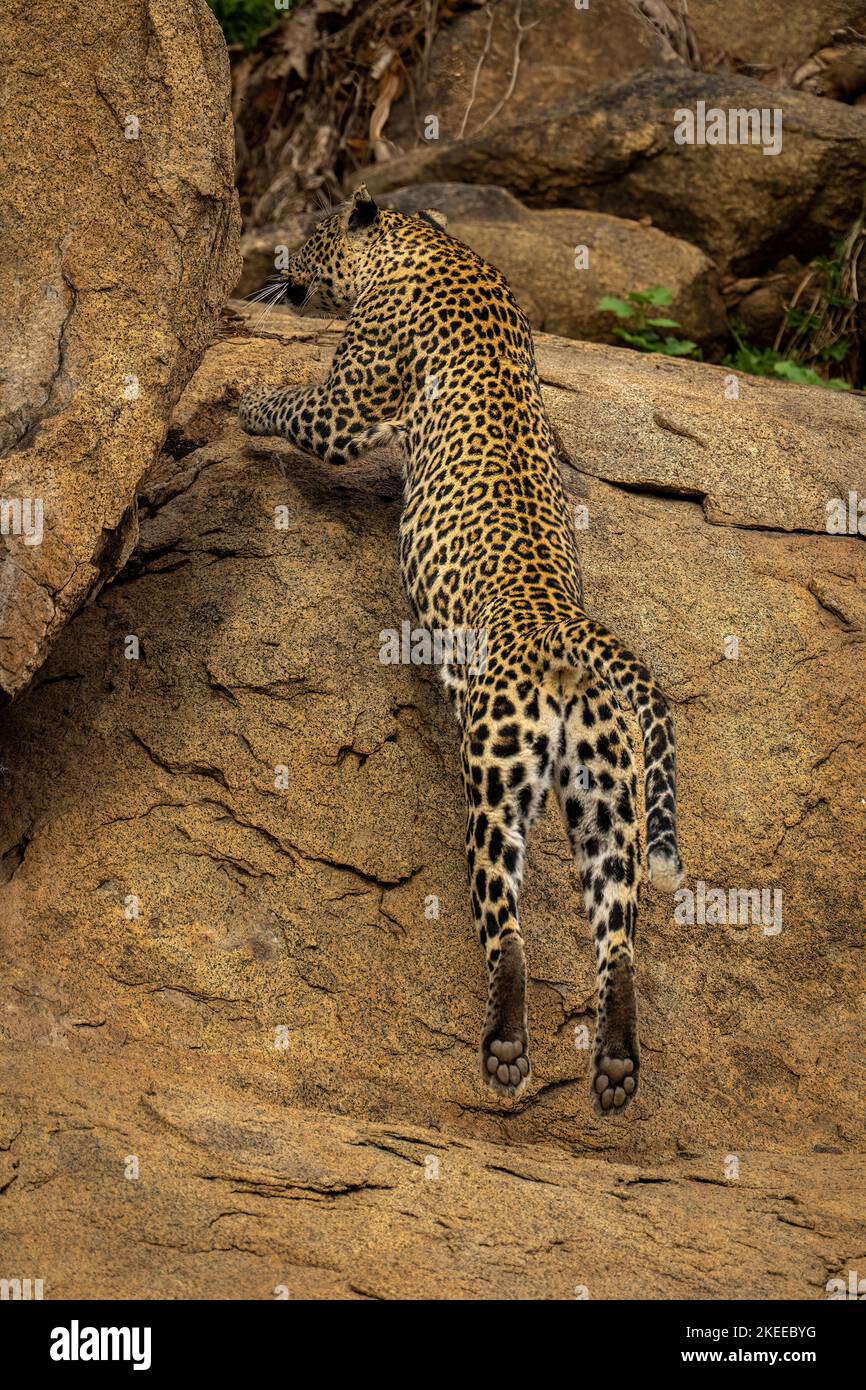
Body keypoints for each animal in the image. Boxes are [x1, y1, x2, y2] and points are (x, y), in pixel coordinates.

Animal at [239, 185, 684, 1114]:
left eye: (311, 233)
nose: (279, 266)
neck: (434, 247)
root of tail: (559, 623)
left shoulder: (350, 401)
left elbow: (297, 408)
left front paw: (245, 403)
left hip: (496, 772)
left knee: (506, 923)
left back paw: (507, 1047)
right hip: (608, 796)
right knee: (618, 936)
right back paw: (616, 1065)